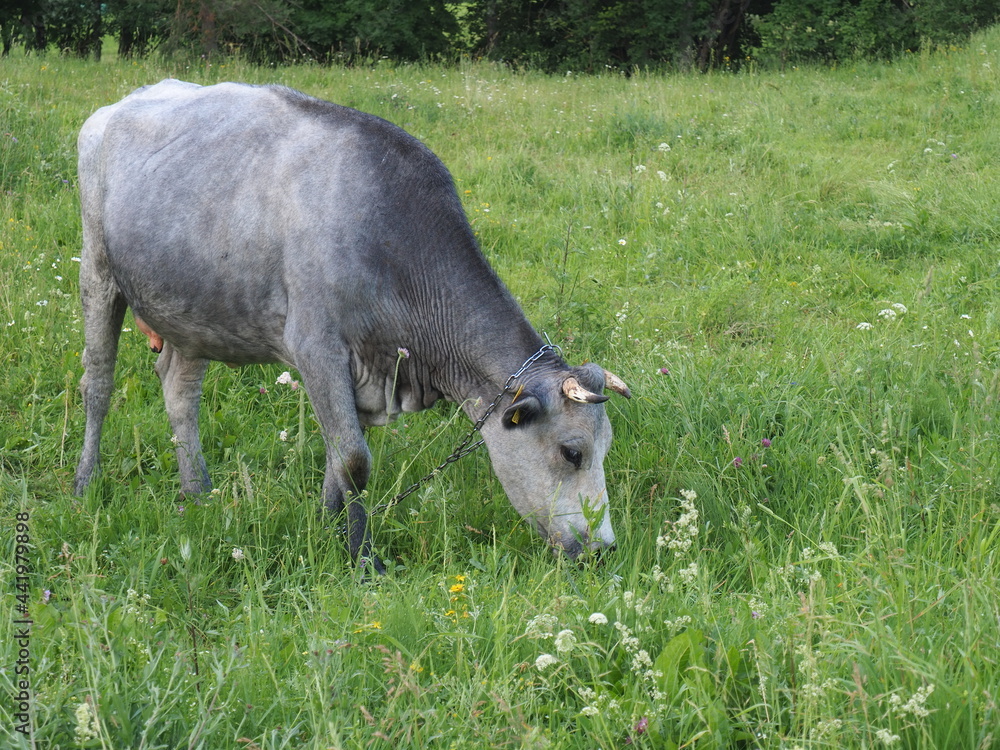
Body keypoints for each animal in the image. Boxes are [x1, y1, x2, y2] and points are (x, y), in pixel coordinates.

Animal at [74, 79, 630, 573]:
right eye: (572, 452)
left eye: (605, 449)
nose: (603, 550)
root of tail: (121, 103)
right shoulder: (315, 346)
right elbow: (355, 460)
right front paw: (362, 559)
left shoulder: (366, 369)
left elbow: (339, 460)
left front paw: (329, 533)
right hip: (98, 272)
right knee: (97, 384)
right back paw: (85, 482)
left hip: (192, 310)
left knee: (179, 392)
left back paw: (198, 492)